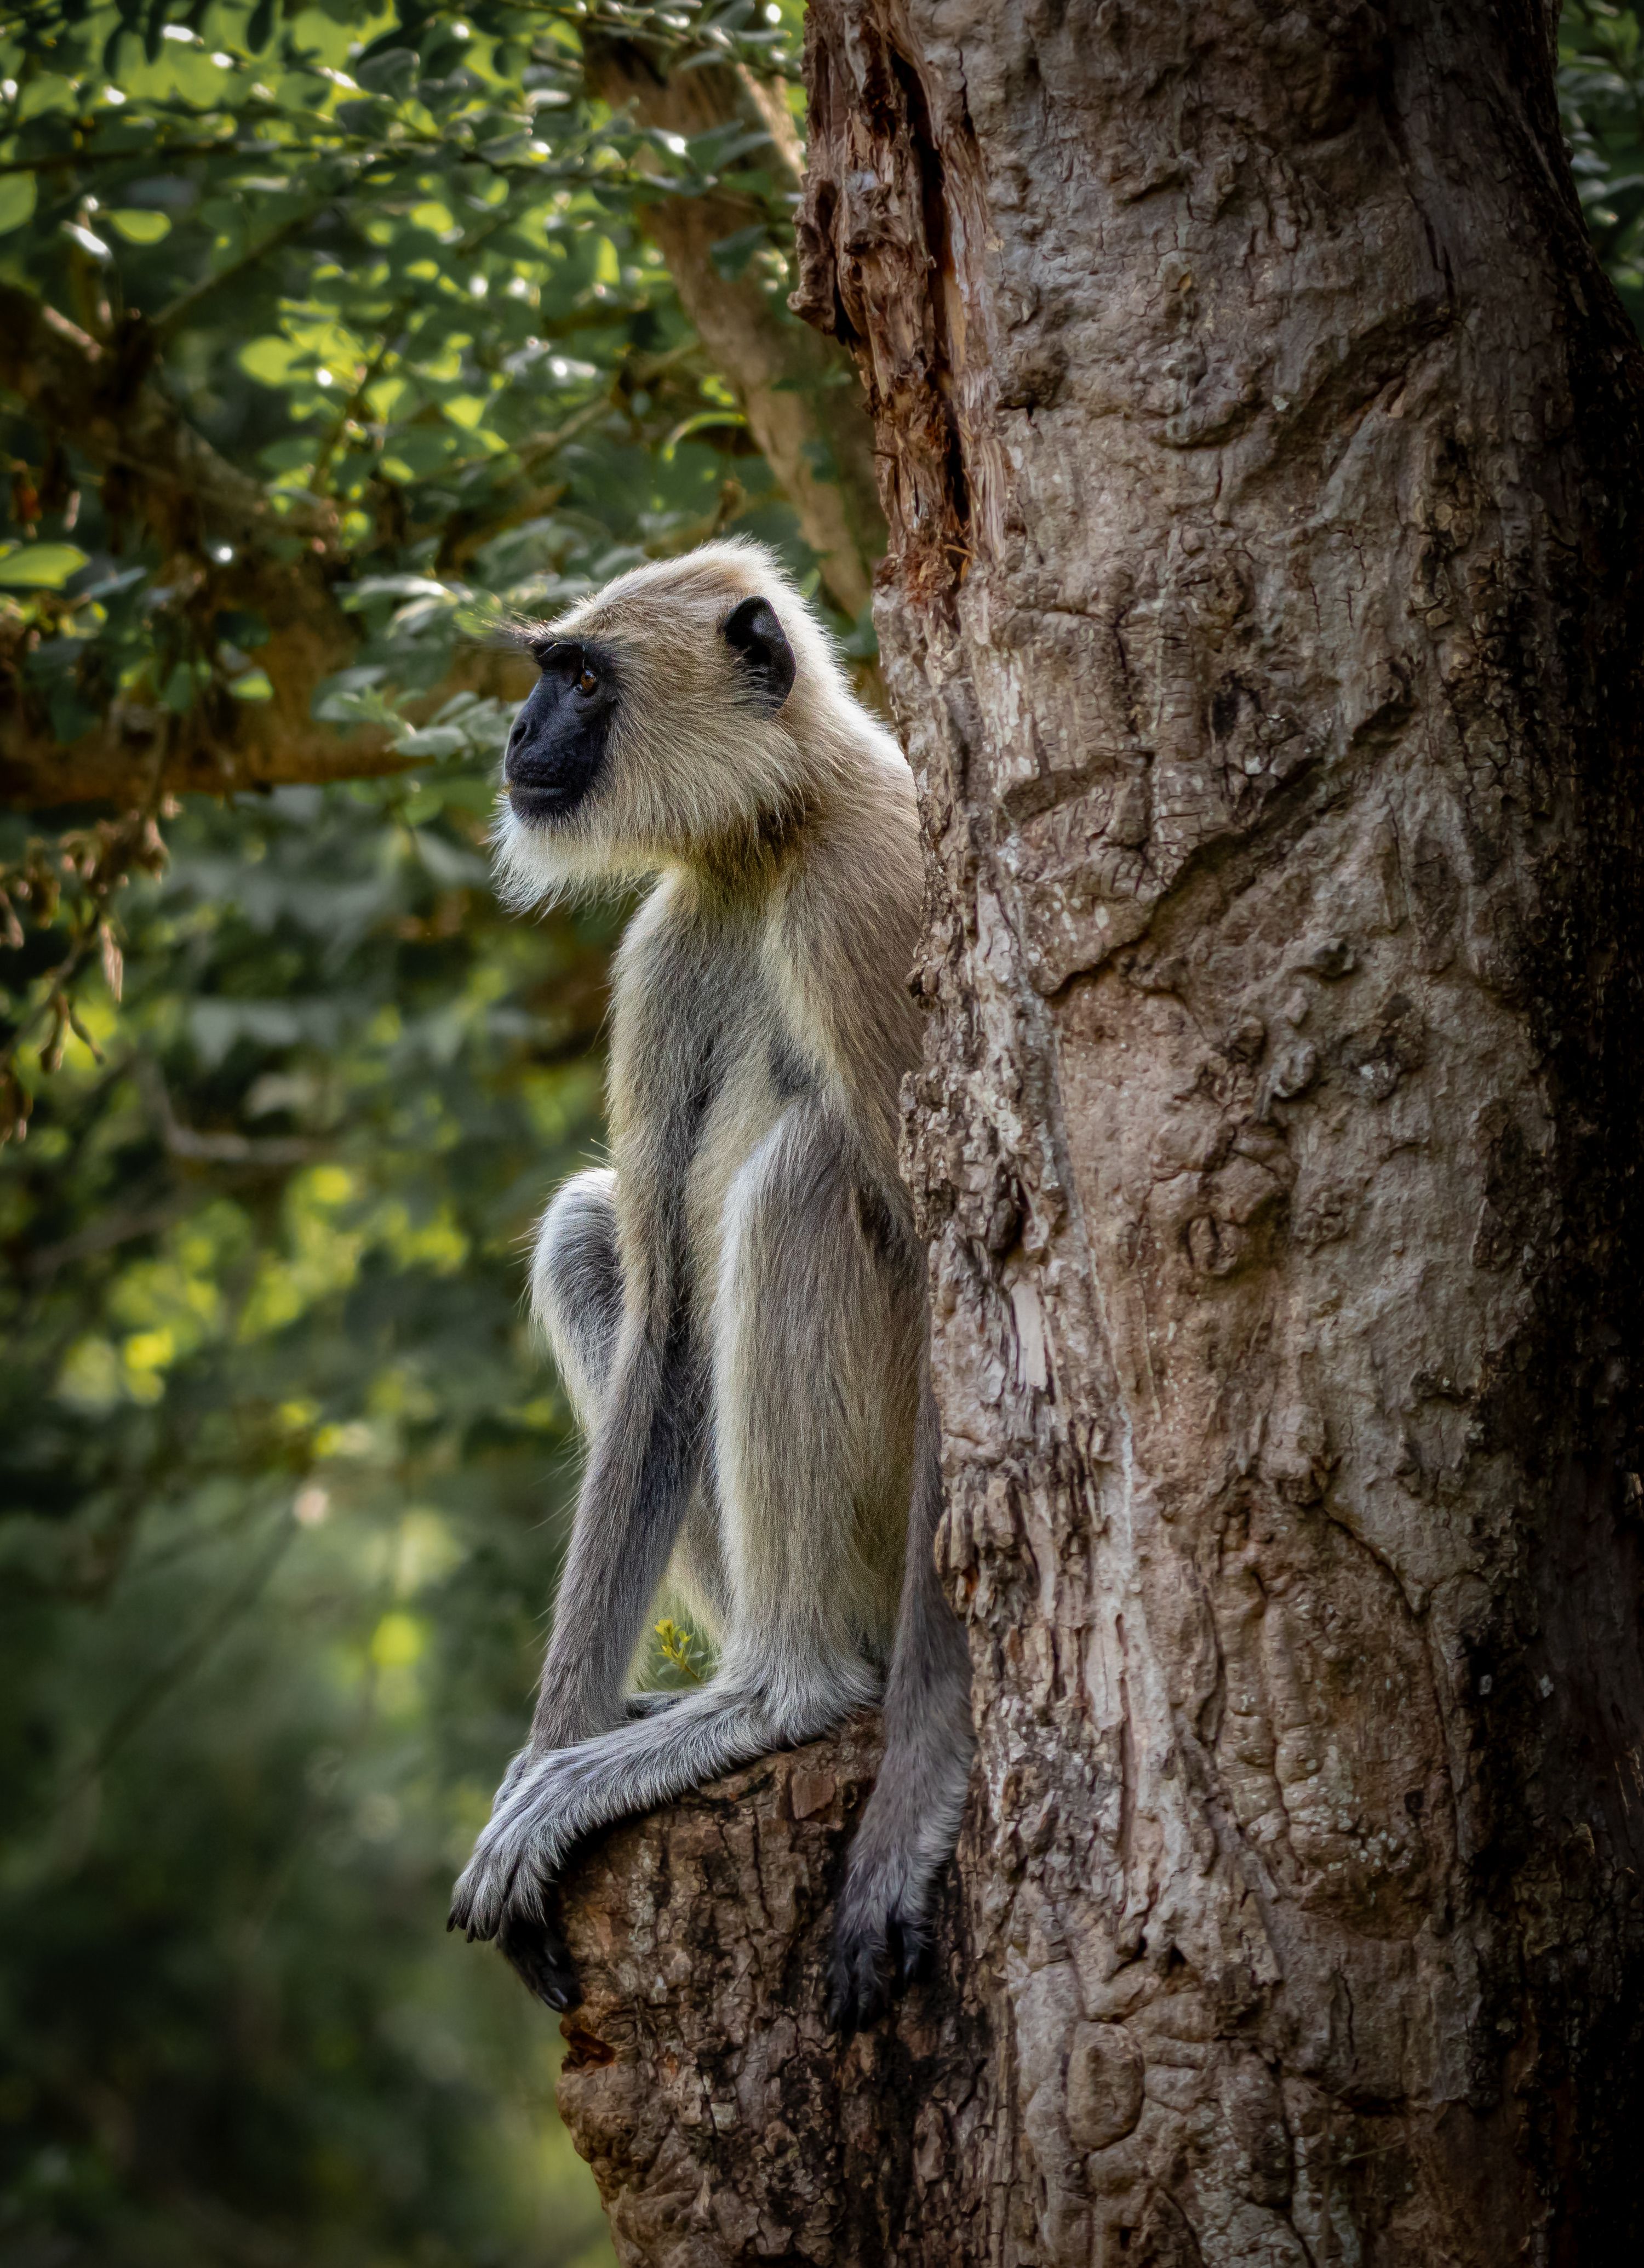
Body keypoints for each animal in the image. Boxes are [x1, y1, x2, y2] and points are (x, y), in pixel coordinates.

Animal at [446, 537, 973, 2026]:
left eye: (579, 680)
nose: (517, 738)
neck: (774, 837)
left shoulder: (864, 904)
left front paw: (909, 1814)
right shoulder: (673, 937)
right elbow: (671, 1323)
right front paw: (544, 1753)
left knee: (801, 1172)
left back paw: (784, 1697)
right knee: (588, 1228)